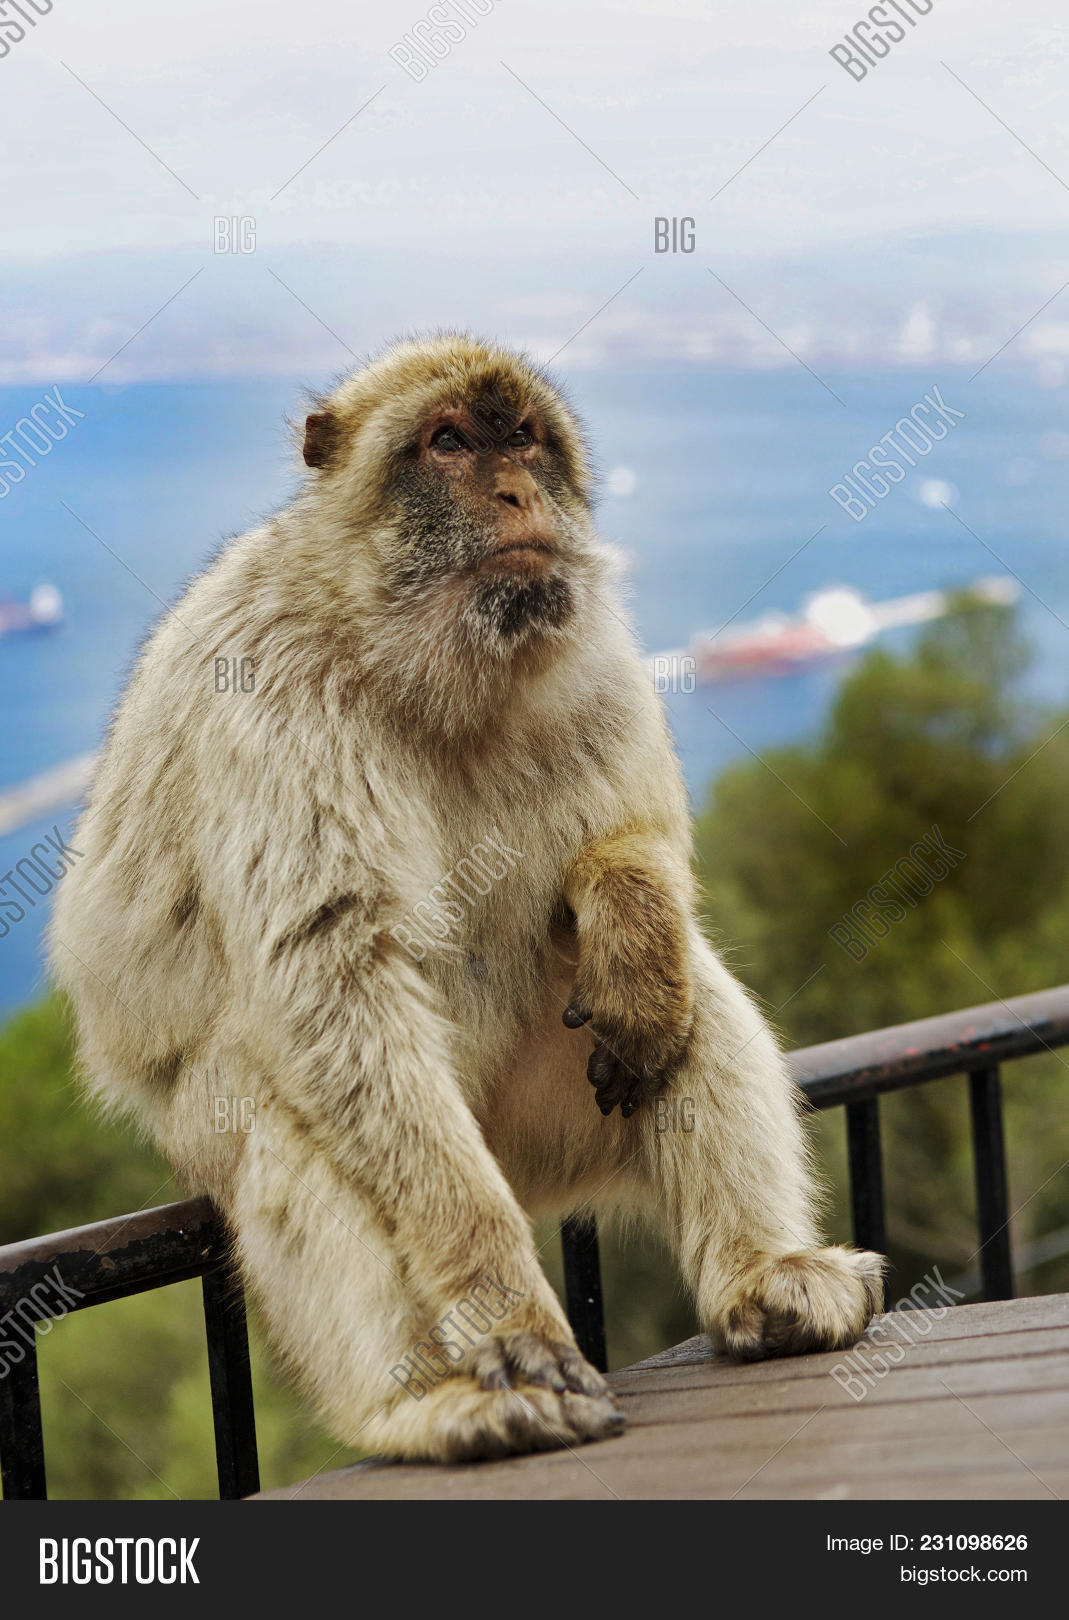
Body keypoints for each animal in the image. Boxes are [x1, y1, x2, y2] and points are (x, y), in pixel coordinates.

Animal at [49, 334, 884, 1466]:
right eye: (448, 442)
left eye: (523, 438)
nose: (516, 490)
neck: (433, 664)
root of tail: (522, 1167)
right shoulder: (268, 691)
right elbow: (333, 978)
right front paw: (511, 1315)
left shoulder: (592, 641)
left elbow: (643, 835)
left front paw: (628, 919)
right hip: (419, 1141)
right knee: (278, 1101)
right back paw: (427, 1403)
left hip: (556, 1108)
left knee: (689, 990)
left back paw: (763, 1279)